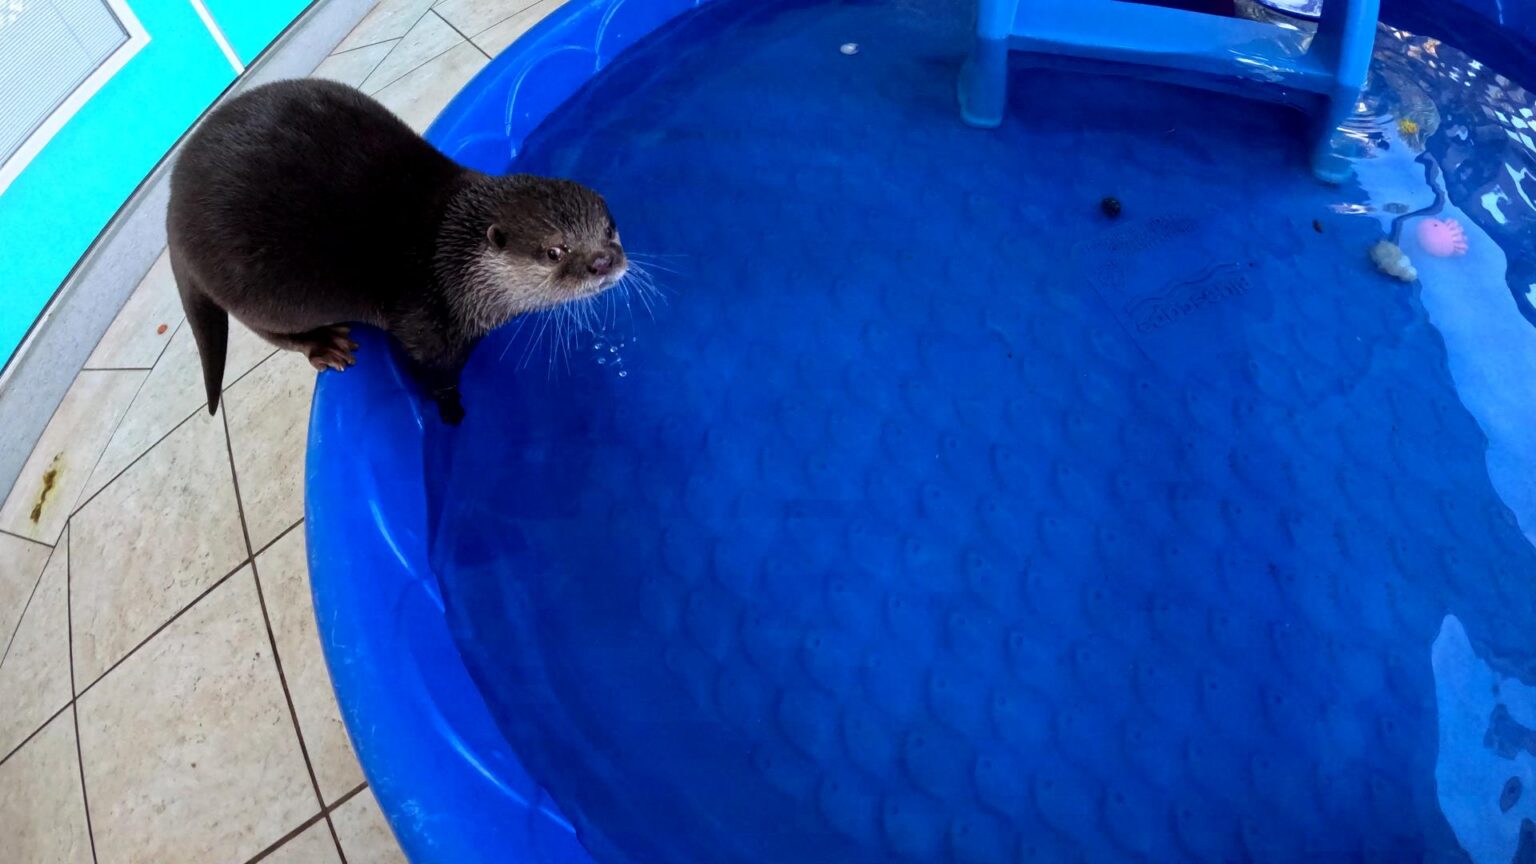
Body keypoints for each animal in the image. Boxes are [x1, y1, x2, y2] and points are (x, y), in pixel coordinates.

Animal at [167, 78, 626, 424]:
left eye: (610, 227)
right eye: (555, 252)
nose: (604, 261)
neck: (447, 260)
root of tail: (172, 206)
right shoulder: (425, 322)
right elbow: (432, 374)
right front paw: (451, 410)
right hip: (253, 290)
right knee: (270, 330)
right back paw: (324, 345)